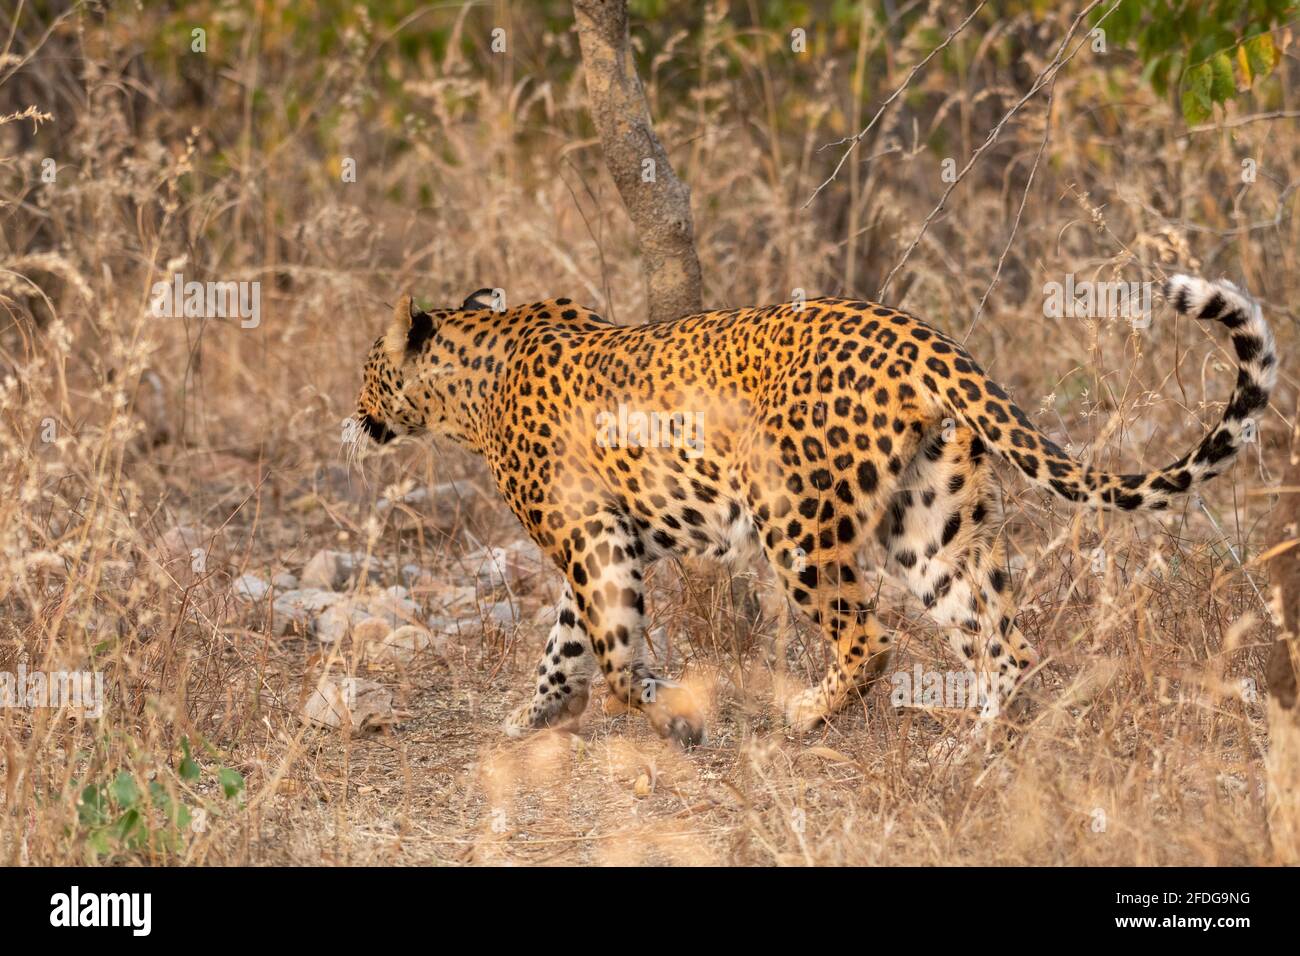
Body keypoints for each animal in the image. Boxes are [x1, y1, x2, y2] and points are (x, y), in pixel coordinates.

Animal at [353, 276, 1275, 747]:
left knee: (871, 636)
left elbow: (610, 653)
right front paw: (535, 714)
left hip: (791, 520)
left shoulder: (592, 540)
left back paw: (805, 714)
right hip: (934, 522)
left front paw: (670, 713)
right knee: (1003, 642)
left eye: (366, 372)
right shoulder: (609, 537)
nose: (355, 417)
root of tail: (919, 334)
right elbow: (568, 642)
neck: (475, 377)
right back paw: (974, 745)